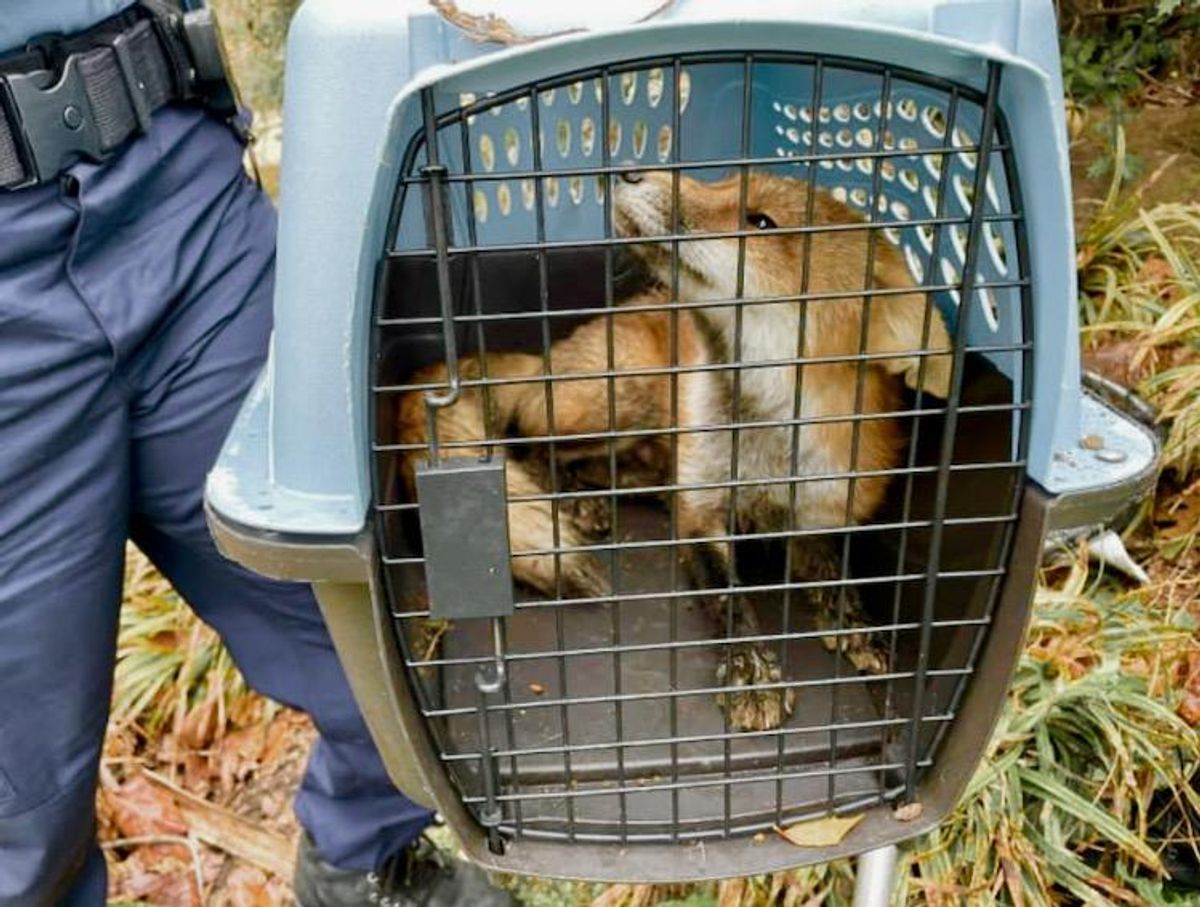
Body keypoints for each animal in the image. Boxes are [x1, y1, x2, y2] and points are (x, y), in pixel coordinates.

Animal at [395, 169, 954, 730]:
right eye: (724, 179)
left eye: (761, 222)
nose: (631, 171)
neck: (763, 448)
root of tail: (547, 357)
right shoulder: (700, 514)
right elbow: (730, 596)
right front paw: (752, 672)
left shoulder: (818, 510)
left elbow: (837, 573)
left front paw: (859, 626)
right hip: (622, 396)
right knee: (527, 444)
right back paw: (575, 501)